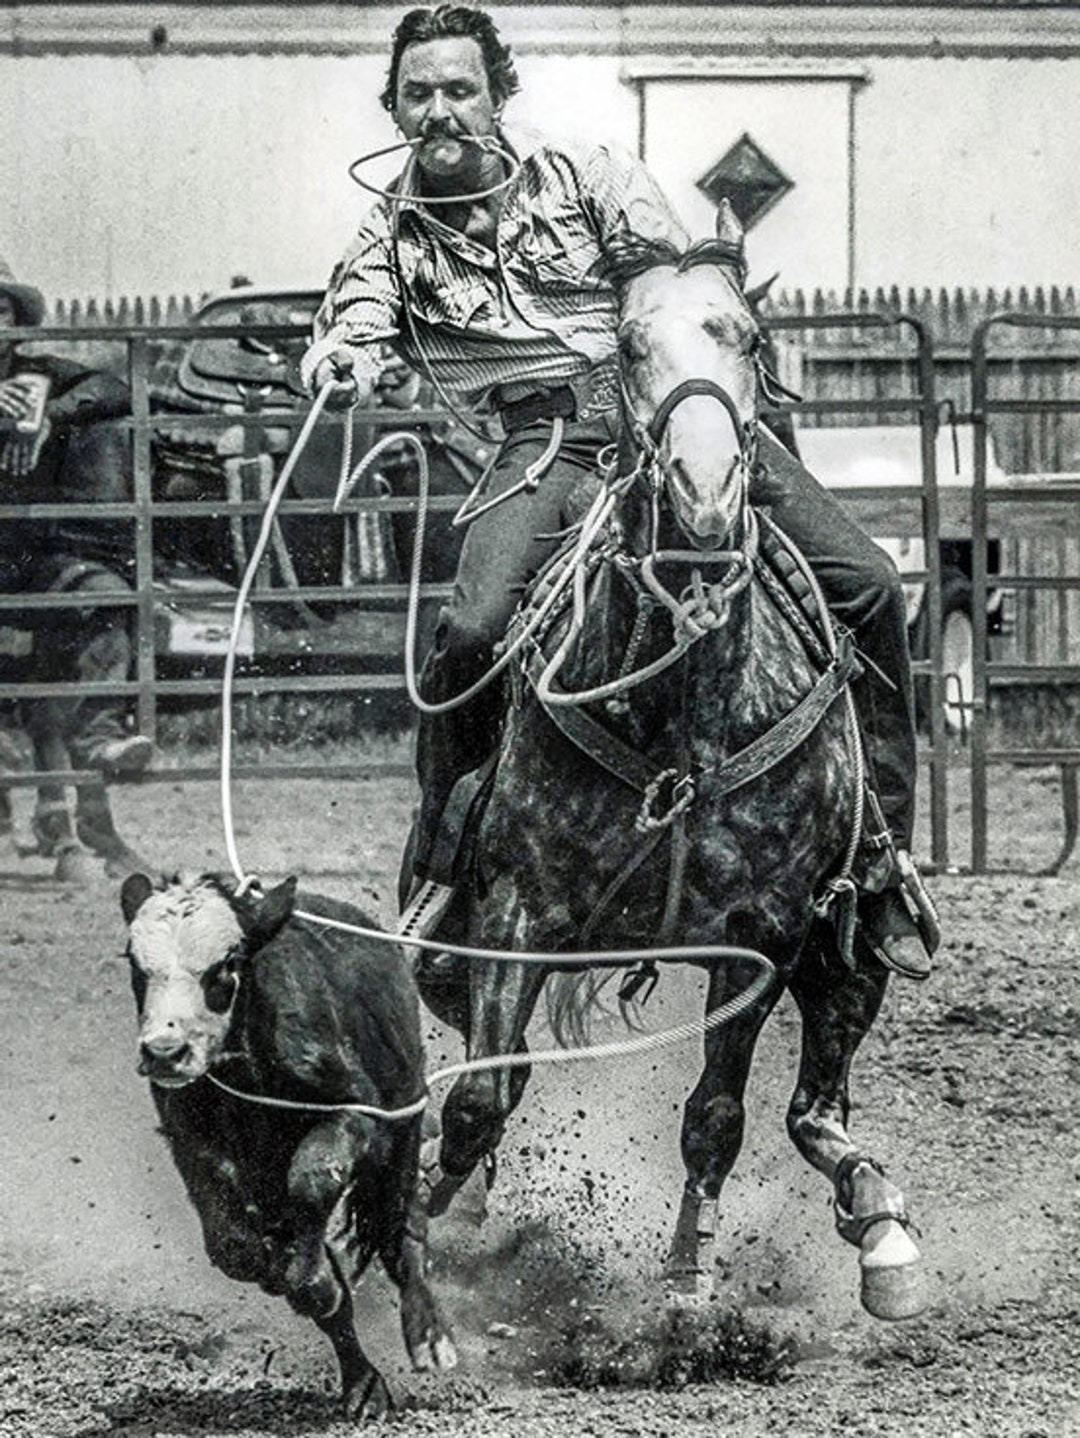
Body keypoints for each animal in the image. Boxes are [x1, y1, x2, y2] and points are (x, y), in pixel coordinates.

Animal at [121, 870, 457, 1422]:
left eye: (226, 964)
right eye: (135, 962)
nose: (165, 1052)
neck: (249, 1069)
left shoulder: (359, 1113)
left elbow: (314, 1177)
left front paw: (311, 1278)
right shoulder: (189, 1137)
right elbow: (231, 1245)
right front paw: (288, 1269)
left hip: (403, 1132)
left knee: (402, 1232)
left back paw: (429, 1336)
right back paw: (363, 1385)